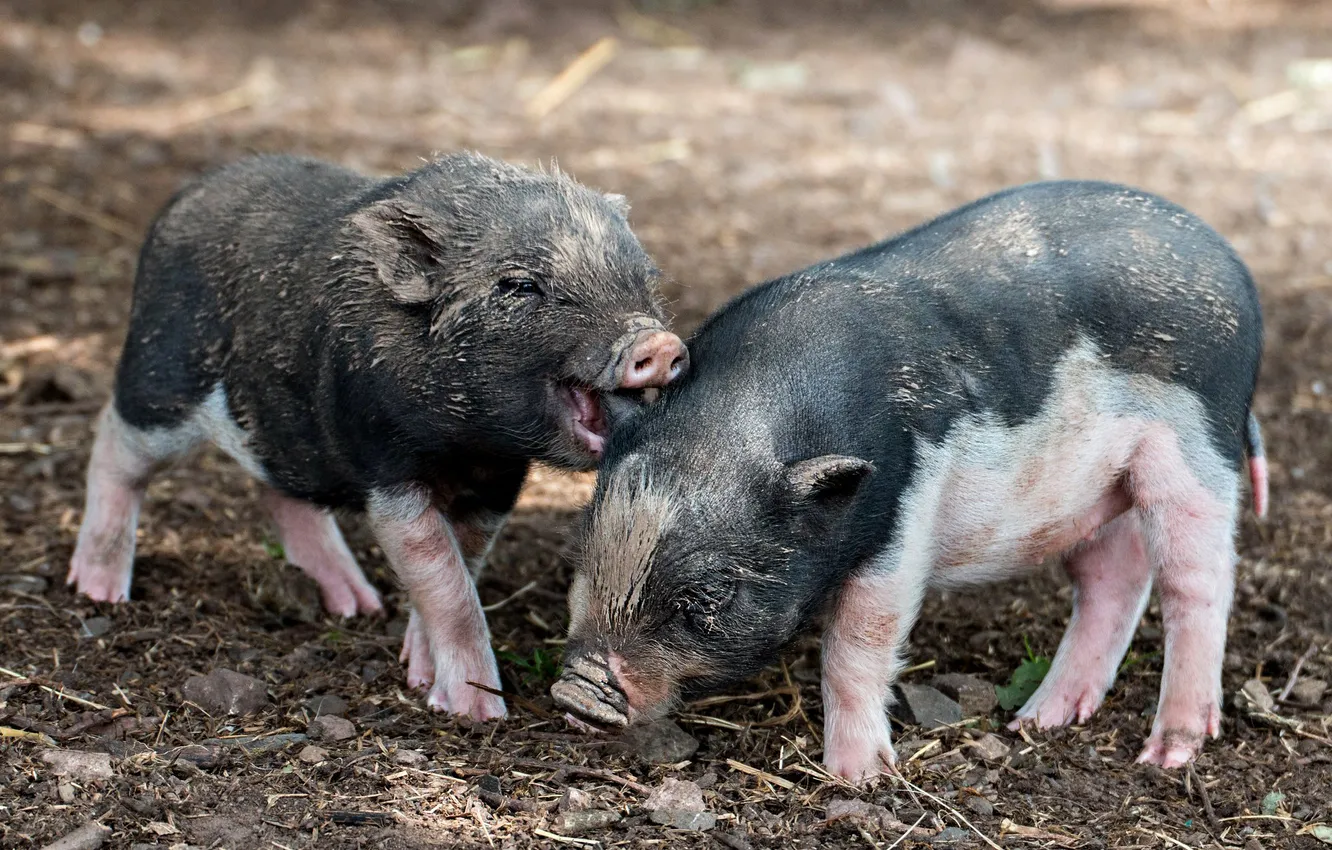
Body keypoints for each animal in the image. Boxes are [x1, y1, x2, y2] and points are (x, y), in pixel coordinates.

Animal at [68, 152, 688, 720]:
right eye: (519, 285)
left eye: (645, 278)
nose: (656, 343)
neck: (466, 440)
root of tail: (183, 197)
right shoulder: (387, 466)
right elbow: (446, 581)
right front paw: (475, 712)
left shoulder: (495, 484)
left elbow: (461, 566)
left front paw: (419, 673)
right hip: (161, 380)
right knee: (113, 443)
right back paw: (98, 590)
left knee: (280, 490)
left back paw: (357, 606)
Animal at [552, 180, 1267, 780]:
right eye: (584, 551)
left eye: (710, 594)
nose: (575, 690)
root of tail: (1226, 258)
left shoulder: (901, 516)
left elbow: (857, 645)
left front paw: (859, 778)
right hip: (1100, 487)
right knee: (1113, 577)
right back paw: (1036, 720)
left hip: (1196, 449)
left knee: (1196, 581)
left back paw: (1168, 753)